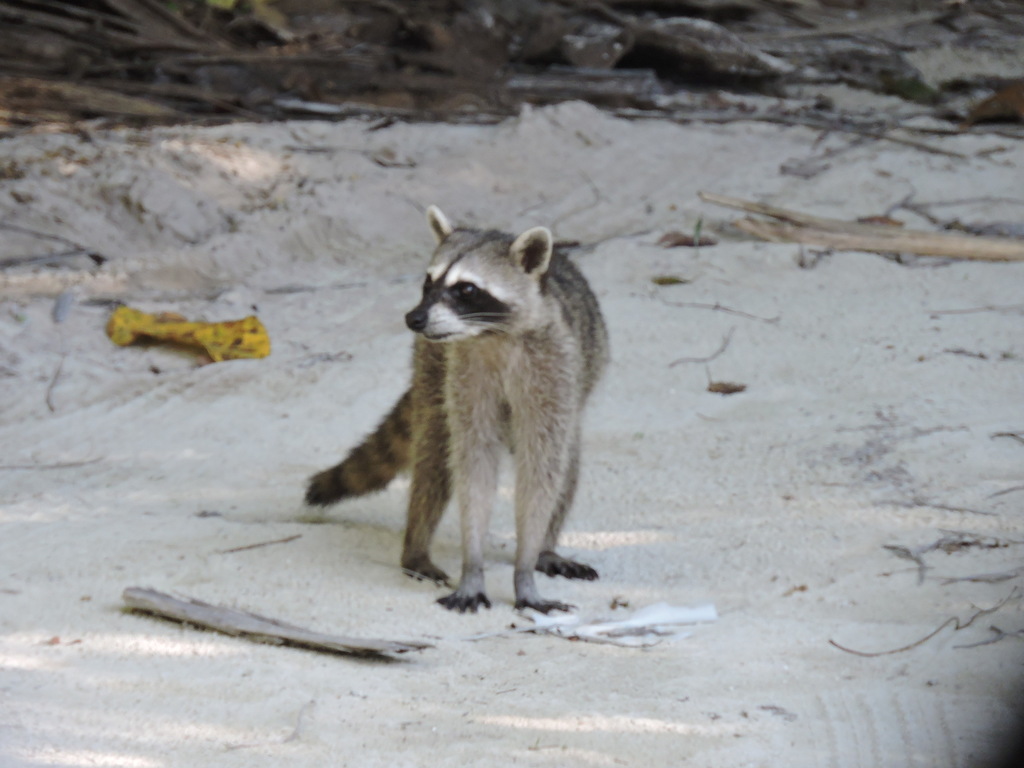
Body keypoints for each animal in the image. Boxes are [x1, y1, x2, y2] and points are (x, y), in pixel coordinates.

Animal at [306, 206, 608, 613]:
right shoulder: (464, 371)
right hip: (433, 371)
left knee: (566, 464)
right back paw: (416, 548)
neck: (494, 336)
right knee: (435, 456)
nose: (413, 319)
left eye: (466, 289)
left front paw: (525, 567)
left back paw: (546, 548)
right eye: (427, 282)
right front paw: (473, 566)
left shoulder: (554, 372)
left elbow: (541, 473)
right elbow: (473, 467)